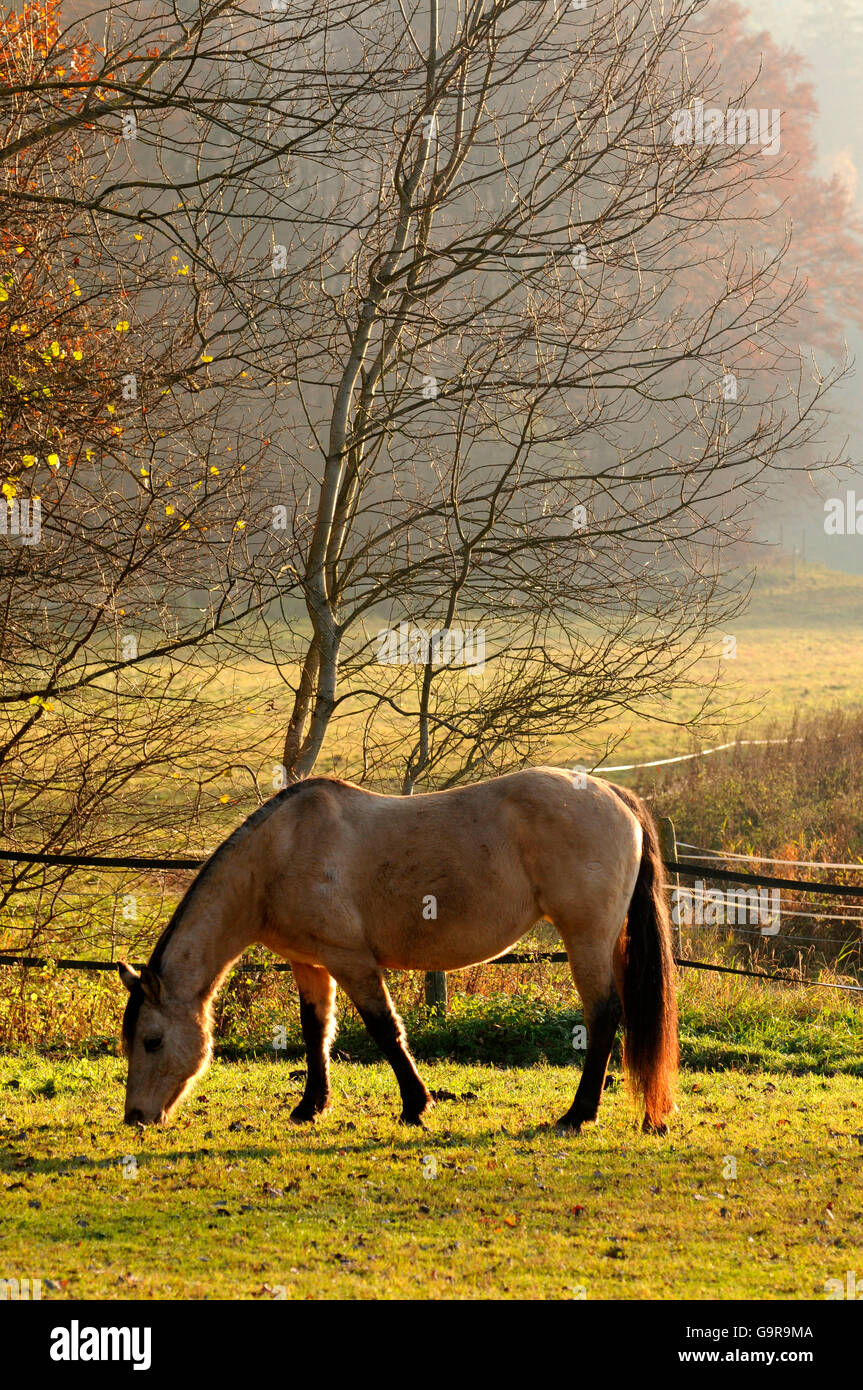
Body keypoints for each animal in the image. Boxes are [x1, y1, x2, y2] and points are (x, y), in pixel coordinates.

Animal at [118, 767, 678, 1133]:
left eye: (151, 1041)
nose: (135, 1118)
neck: (279, 854)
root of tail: (612, 793)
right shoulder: (310, 963)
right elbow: (315, 1032)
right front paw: (310, 1106)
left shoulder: (352, 961)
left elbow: (385, 1030)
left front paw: (415, 1106)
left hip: (586, 937)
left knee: (603, 1014)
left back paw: (578, 1114)